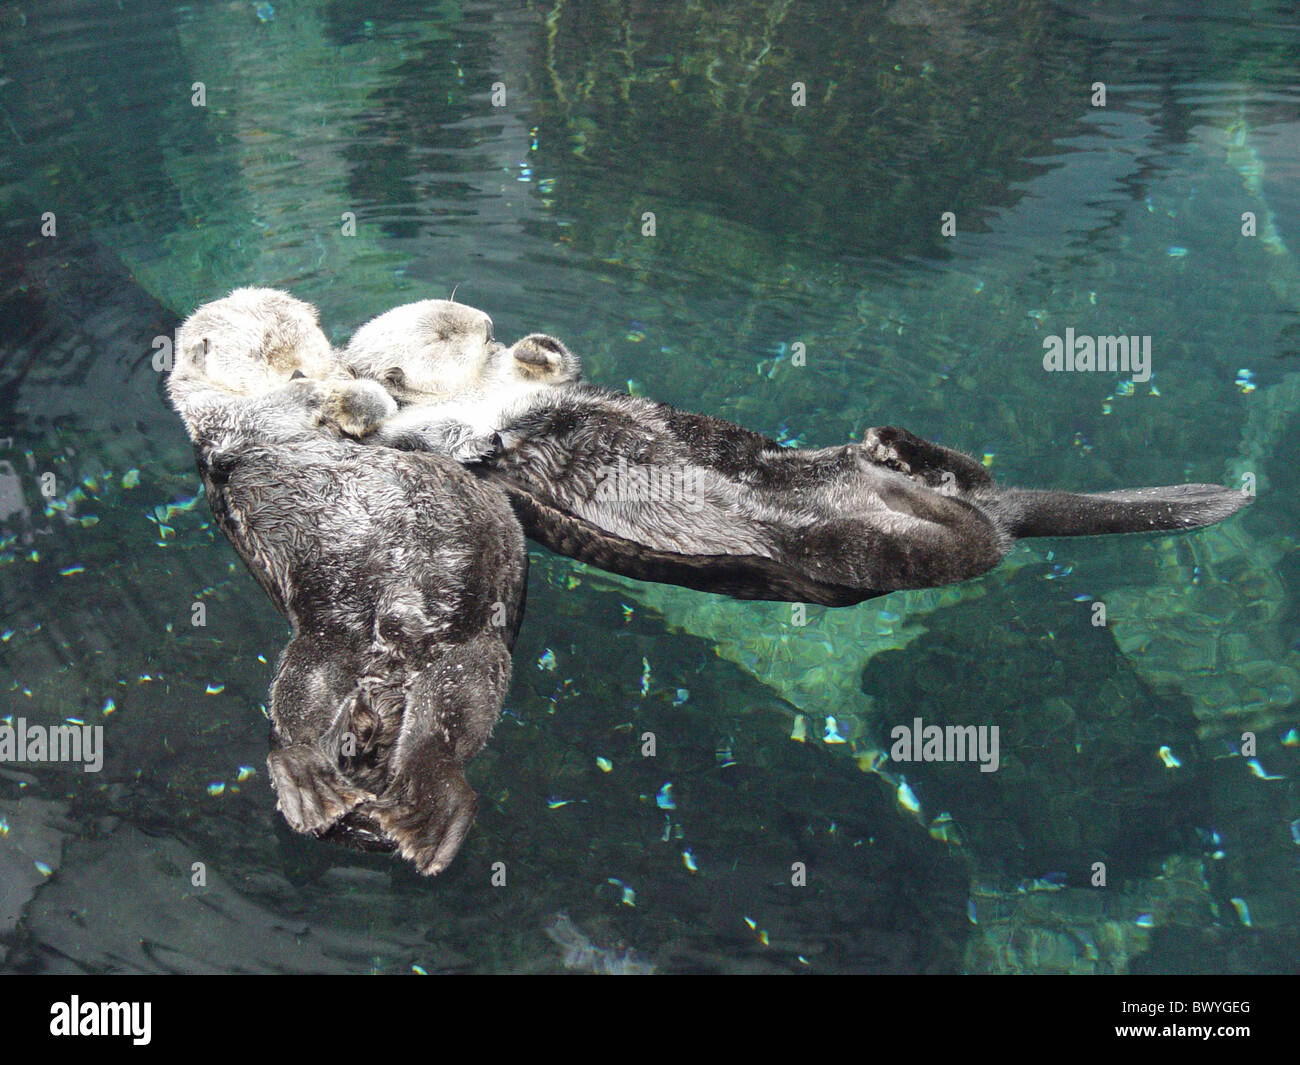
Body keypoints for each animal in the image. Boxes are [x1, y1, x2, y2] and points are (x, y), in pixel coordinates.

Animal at [168, 288, 527, 875]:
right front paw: (312, 391)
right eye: (264, 349)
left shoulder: (399, 424)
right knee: (298, 725)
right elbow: (252, 413)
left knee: (442, 744)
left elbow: (404, 423)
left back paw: (428, 824)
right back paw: (313, 791)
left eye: (305, 339)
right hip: (320, 651)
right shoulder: (216, 420)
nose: (301, 370)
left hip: (474, 659)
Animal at [344, 298, 1250, 607]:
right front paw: (423, 419)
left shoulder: (541, 388)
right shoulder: (424, 440)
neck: (487, 398)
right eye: (442, 331)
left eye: (470, 324)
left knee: (973, 482)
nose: (488, 323)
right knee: (972, 543)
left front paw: (536, 347)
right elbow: (411, 438)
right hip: (871, 554)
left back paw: (900, 444)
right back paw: (917, 468)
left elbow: (559, 371)